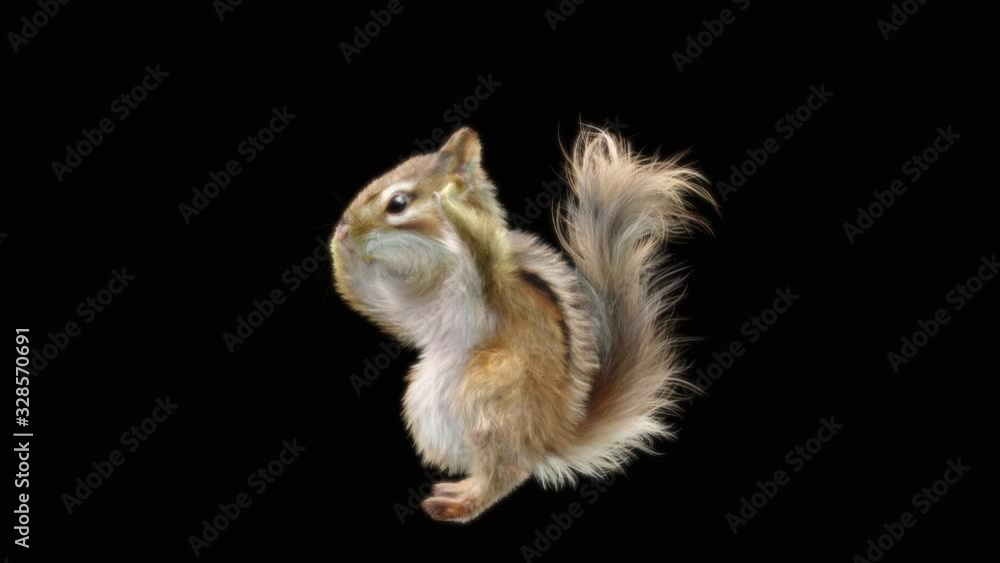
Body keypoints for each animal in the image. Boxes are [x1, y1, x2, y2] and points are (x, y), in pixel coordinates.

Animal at [331, 126, 713, 523]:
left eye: (398, 203)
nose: (346, 224)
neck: (438, 260)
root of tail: (548, 438)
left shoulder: (491, 280)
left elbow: (481, 245)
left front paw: (451, 202)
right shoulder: (418, 302)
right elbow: (382, 302)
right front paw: (339, 245)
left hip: (493, 396)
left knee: (508, 472)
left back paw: (460, 504)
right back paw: (459, 488)